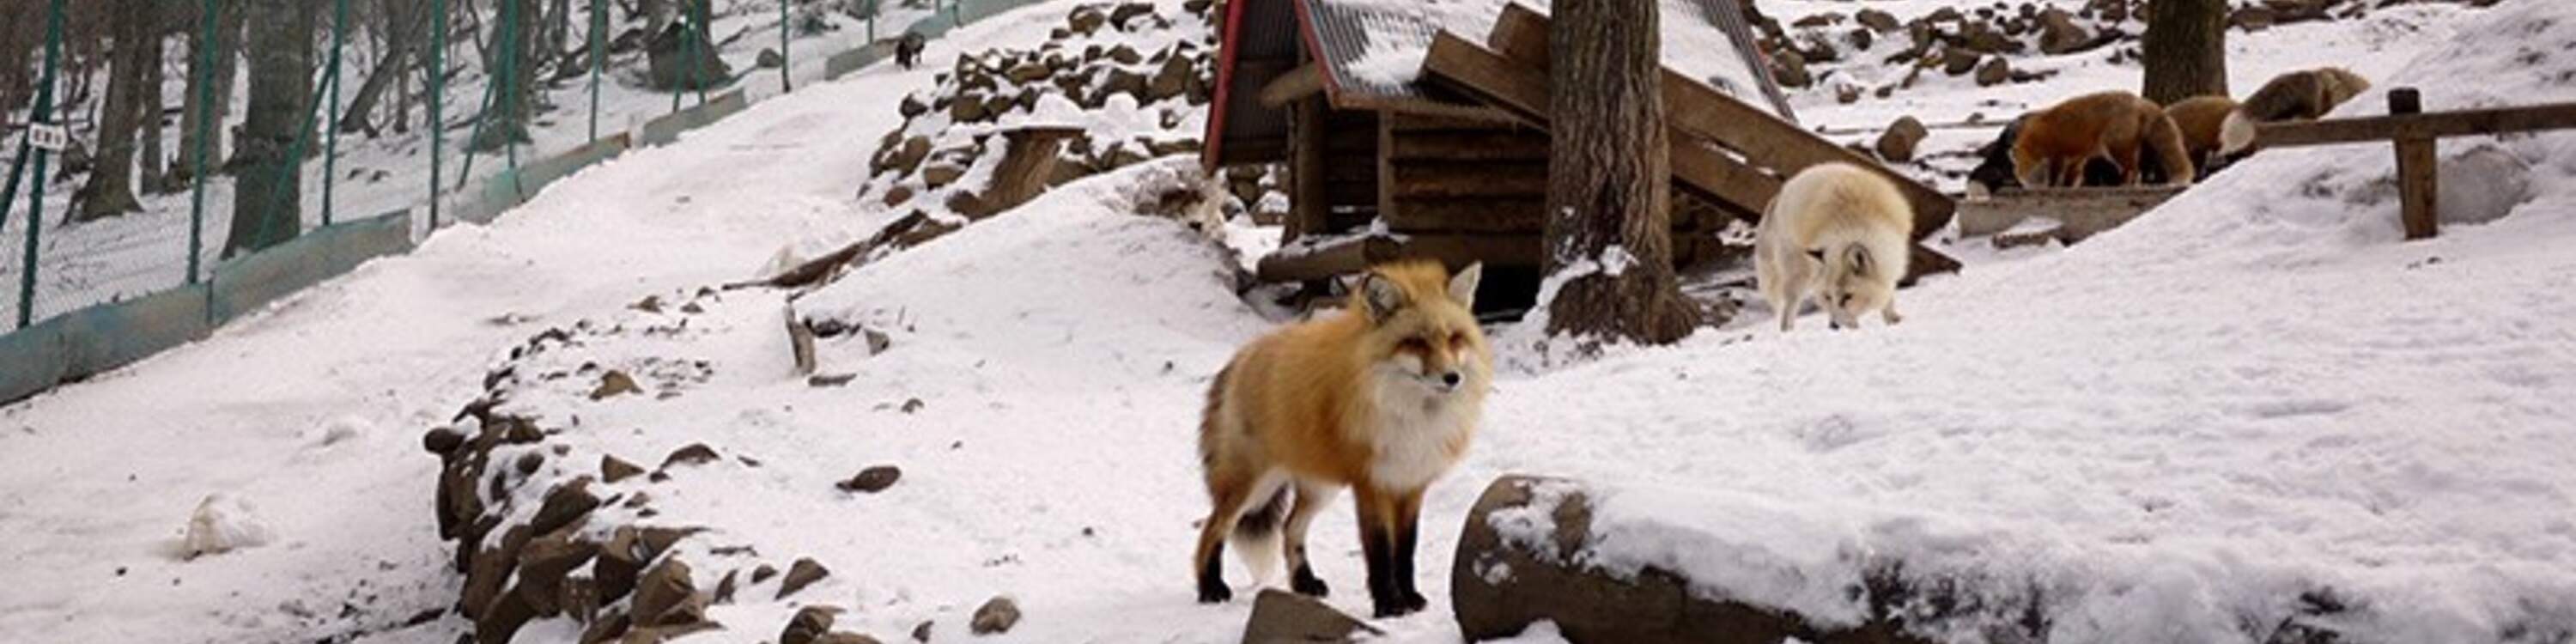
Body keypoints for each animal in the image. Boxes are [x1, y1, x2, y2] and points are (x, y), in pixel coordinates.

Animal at [1193, 260, 1491, 618]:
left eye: (1455, 338)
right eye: (1416, 342)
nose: (1452, 378)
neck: (1413, 418)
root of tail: (1242, 355)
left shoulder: (1411, 484)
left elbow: (1406, 551)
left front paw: (1409, 598)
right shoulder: (1372, 484)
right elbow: (1380, 551)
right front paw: (1389, 605)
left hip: (1320, 487)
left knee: (1290, 527)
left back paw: (1304, 583)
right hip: (1252, 487)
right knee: (1212, 528)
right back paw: (1210, 587)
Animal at [1756, 163, 1914, 332]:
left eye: (1847, 297)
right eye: (1828, 296)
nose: (1834, 327)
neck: (1854, 225)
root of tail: (1781, 193)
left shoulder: (1890, 265)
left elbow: (1888, 297)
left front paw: (1892, 320)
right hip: (1800, 277)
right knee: (1789, 310)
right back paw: (1788, 332)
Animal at [2011, 90, 2196, 188]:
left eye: (2024, 172)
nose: (2024, 184)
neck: (2040, 135)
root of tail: (2139, 101)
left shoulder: (2060, 154)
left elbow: (2056, 175)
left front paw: (2054, 186)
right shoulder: (2077, 157)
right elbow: (2072, 176)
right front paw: (2068, 186)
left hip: (2114, 147)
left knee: (2133, 169)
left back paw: (2125, 185)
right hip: (2126, 148)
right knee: (2134, 169)